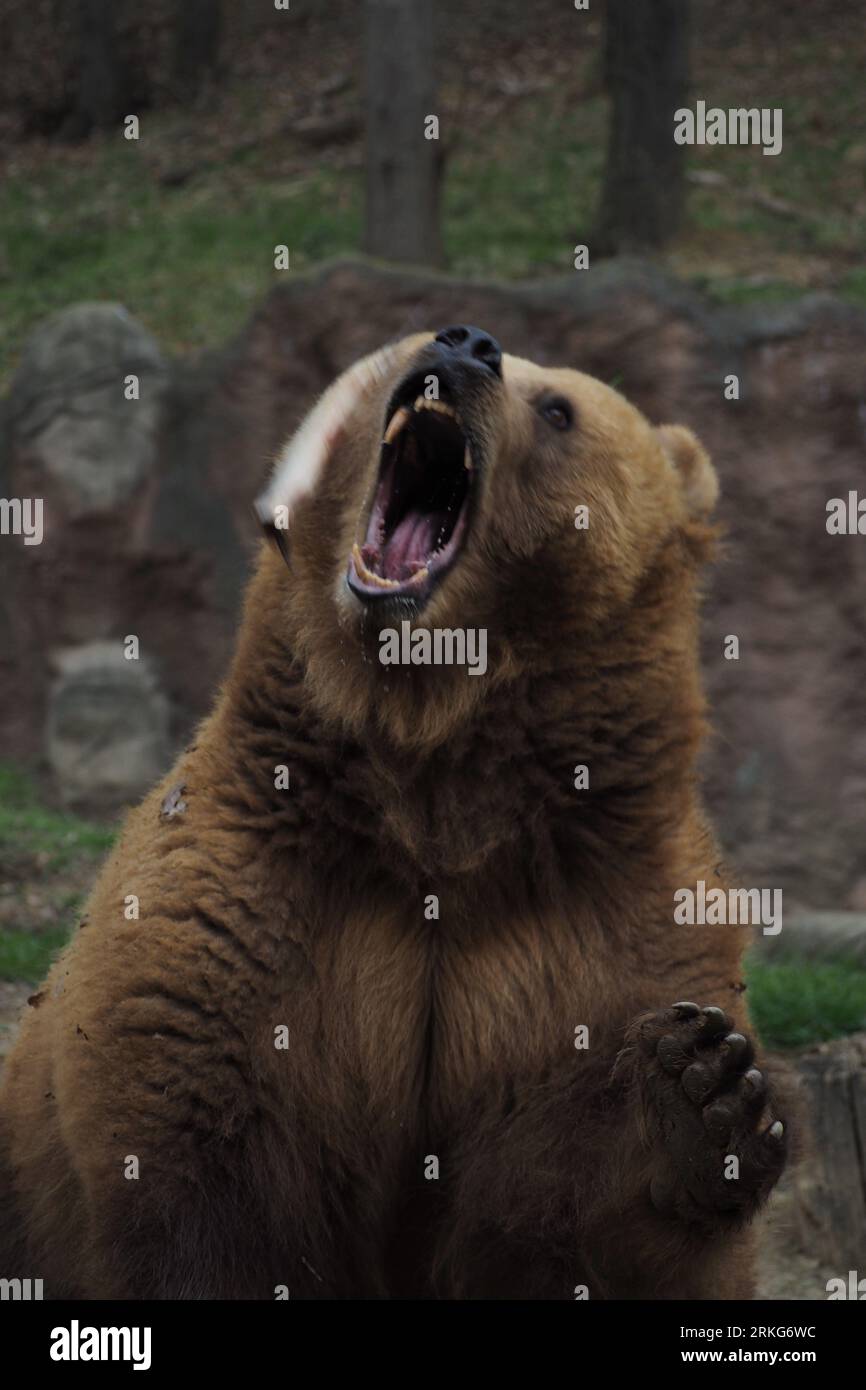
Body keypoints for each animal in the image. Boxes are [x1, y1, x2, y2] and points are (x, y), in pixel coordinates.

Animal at [0, 324, 788, 1300]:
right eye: (412, 343)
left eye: (559, 408)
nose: (465, 346)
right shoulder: (246, 904)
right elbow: (200, 1171)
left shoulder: (601, 927)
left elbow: (575, 1214)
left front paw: (708, 1094)